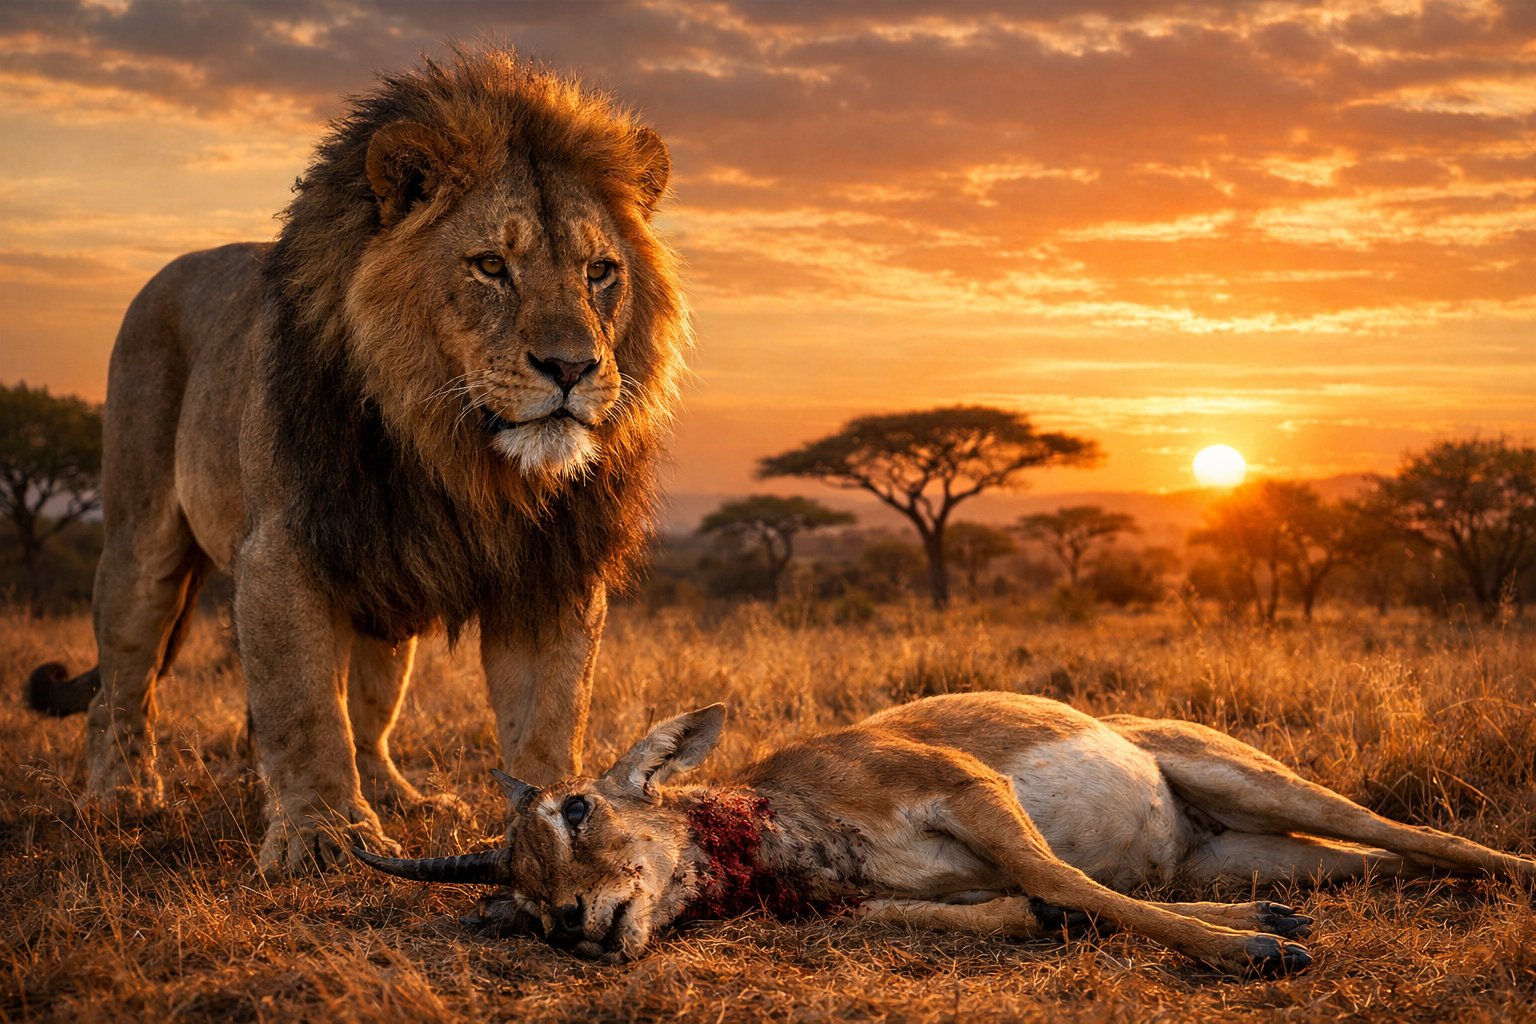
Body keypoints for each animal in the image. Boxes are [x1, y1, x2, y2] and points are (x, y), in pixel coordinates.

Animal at [24, 48, 690, 876]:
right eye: (490, 266)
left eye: (600, 271)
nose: (571, 367)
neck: (464, 458)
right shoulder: (282, 552)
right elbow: (307, 708)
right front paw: (322, 836)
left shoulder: (549, 570)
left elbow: (548, 720)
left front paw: (561, 840)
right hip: (140, 538)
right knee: (122, 678)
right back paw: (119, 794)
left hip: (384, 576)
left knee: (371, 708)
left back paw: (398, 797)